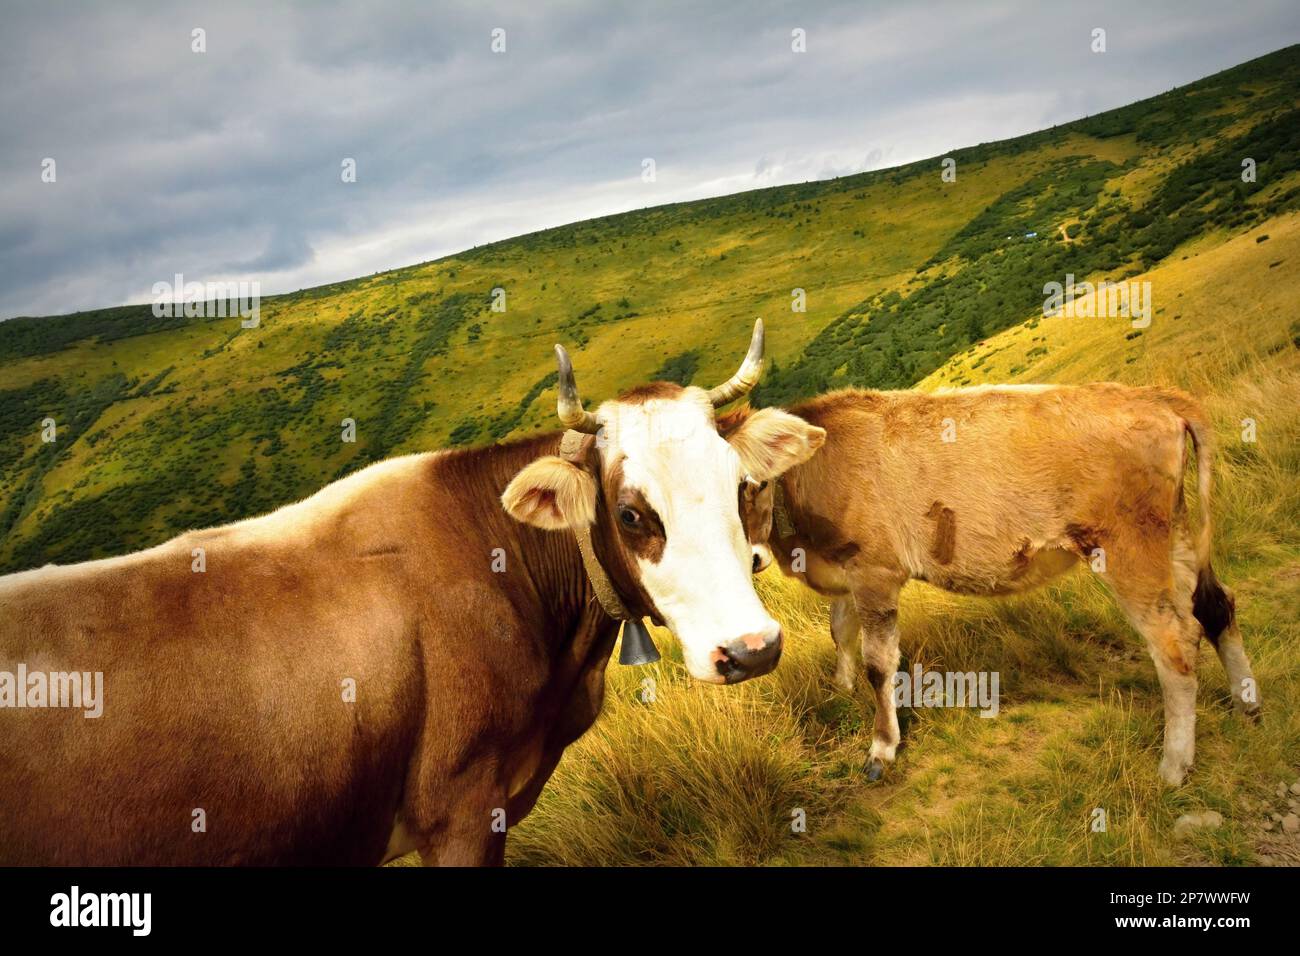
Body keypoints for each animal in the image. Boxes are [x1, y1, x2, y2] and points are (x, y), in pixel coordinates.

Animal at [732, 383, 1258, 787]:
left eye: (751, 482)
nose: (749, 559)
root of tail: (1156, 396)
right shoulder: (843, 573)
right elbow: (839, 632)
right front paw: (840, 690)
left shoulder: (874, 572)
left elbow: (878, 664)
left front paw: (882, 748)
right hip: (1177, 533)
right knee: (1216, 606)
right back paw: (1247, 707)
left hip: (1129, 548)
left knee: (1175, 641)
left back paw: (1173, 766)